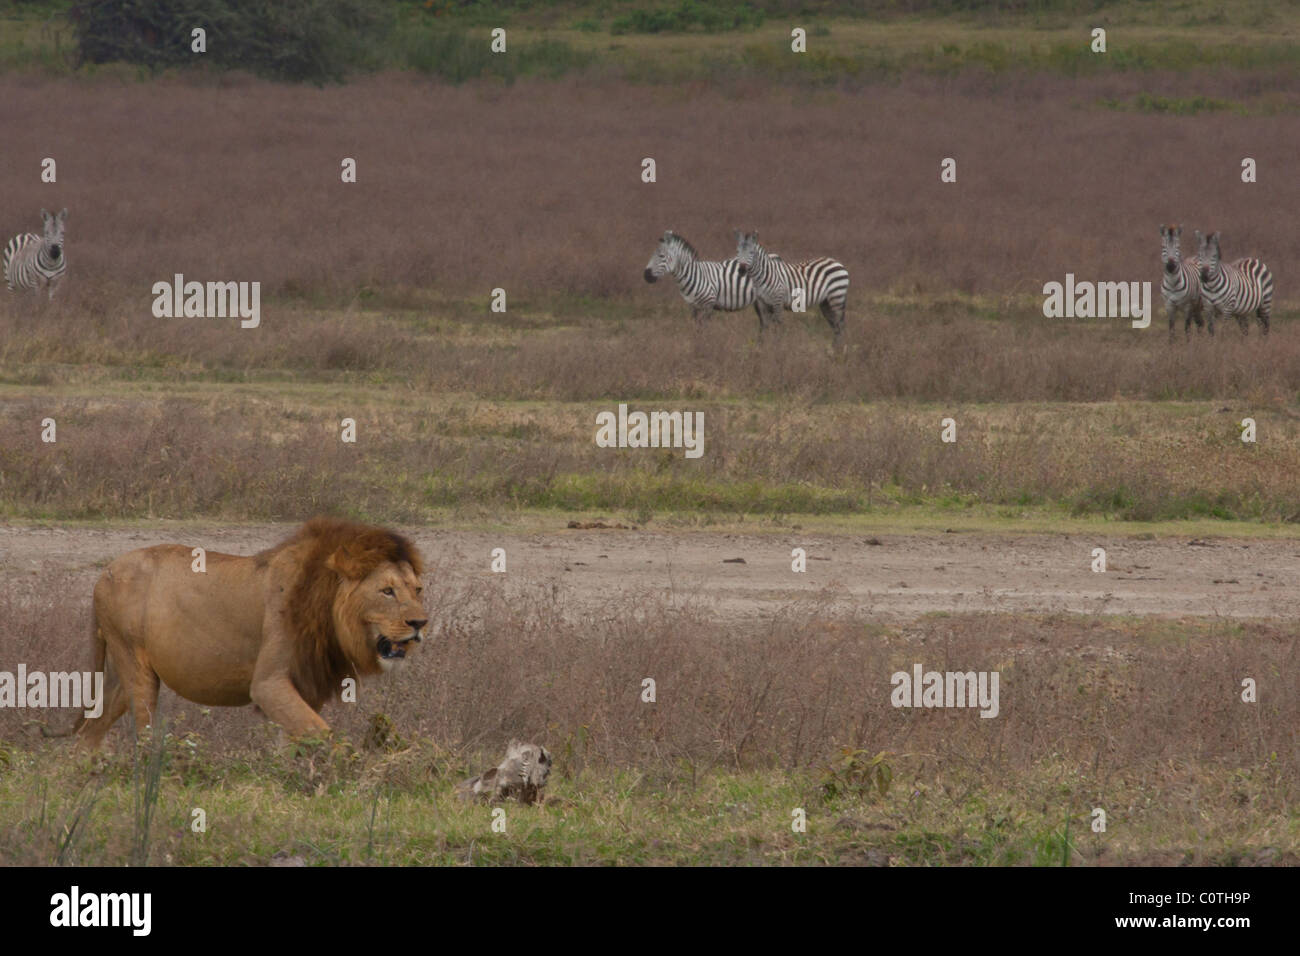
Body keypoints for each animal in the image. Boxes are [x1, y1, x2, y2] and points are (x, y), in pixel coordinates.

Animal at [72, 516, 428, 748]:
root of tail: (104, 572)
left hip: (122, 673)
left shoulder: (306, 687)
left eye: (417, 590)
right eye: (387, 591)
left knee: (89, 731)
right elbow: (321, 734)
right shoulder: (268, 684)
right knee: (141, 731)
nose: (420, 623)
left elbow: (296, 741)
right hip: (135, 663)